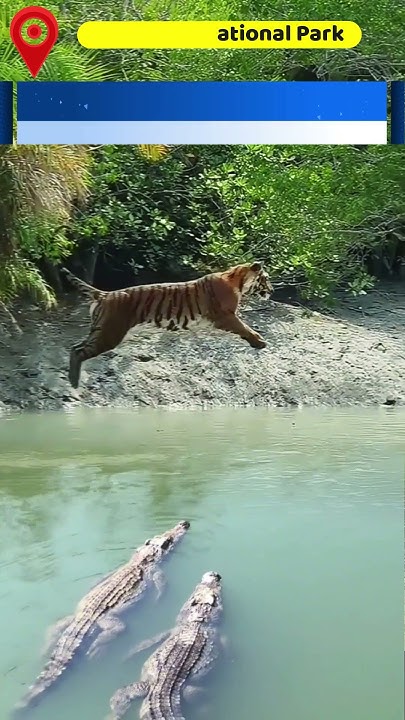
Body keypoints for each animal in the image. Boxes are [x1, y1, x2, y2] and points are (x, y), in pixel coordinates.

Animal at [61, 261, 273, 389]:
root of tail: (104, 294)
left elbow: (244, 328)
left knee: (75, 347)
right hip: (109, 333)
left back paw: (72, 379)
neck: (238, 280)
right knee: (79, 351)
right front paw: (260, 341)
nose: (271, 290)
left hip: (100, 330)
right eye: (266, 279)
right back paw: (74, 382)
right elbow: (245, 327)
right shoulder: (225, 316)